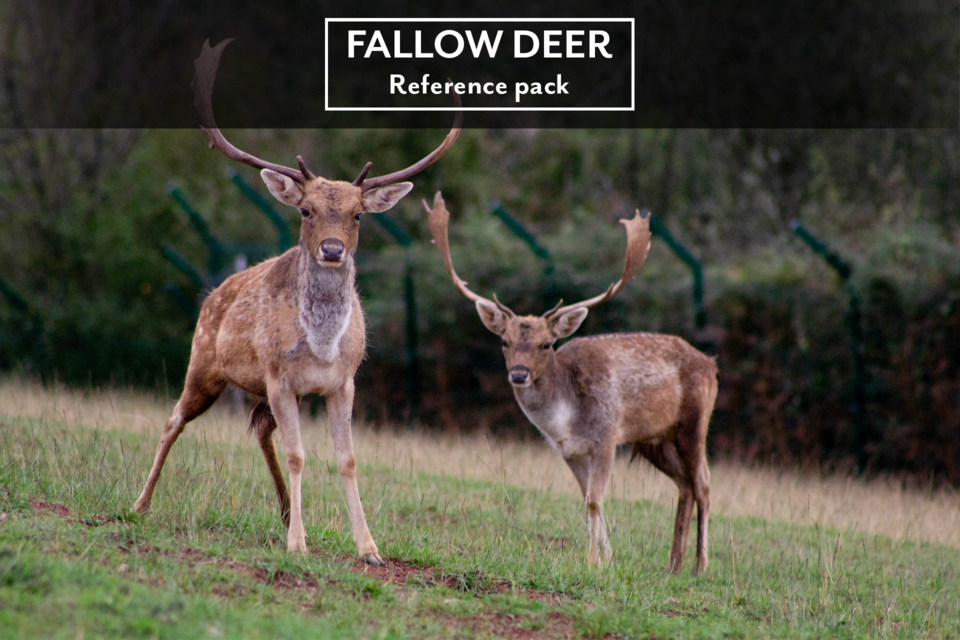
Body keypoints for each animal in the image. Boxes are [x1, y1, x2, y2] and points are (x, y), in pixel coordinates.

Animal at [132, 40, 461, 565]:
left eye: (358, 215)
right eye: (306, 211)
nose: (332, 249)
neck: (322, 345)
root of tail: (213, 294)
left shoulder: (341, 383)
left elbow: (347, 459)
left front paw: (368, 547)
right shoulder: (280, 377)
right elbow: (299, 454)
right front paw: (299, 544)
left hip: (260, 388)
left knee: (259, 430)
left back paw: (286, 511)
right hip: (204, 365)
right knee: (172, 421)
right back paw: (141, 504)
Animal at [423, 192, 717, 575]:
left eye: (547, 344)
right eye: (504, 341)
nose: (519, 374)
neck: (565, 419)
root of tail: (711, 364)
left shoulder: (607, 437)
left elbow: (594, 500)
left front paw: (593, 561)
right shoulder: (568, 450)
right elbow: (588, 500)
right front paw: (607, 558)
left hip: (694, 423)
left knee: (704, 486)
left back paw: (701, 566)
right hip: (655, 439)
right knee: (684, 485)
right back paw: (673, 565)